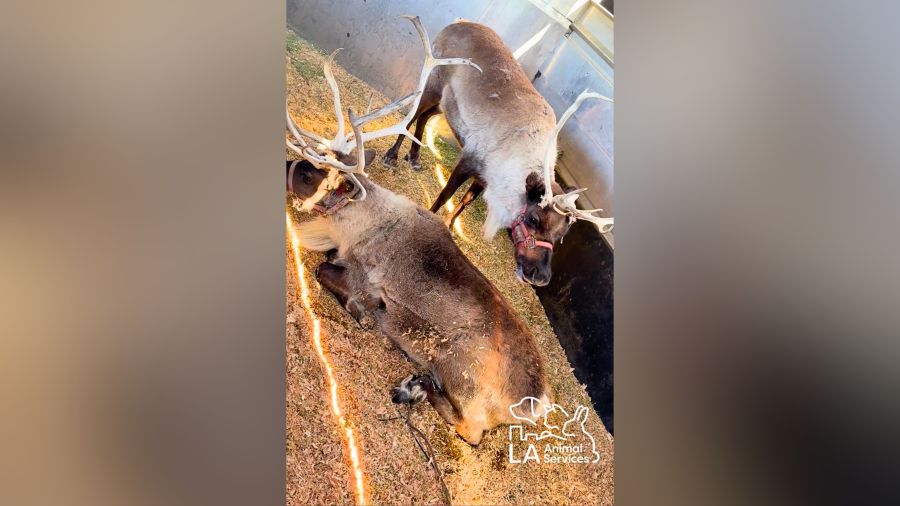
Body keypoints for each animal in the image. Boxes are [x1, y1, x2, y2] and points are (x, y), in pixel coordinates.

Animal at [286, 16, 551, 445]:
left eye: (314, 172)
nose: (284, 167)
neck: (362, 223)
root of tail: (536, 401)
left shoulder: (365, 278)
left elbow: (326, 270)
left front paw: (360, 312)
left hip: (462, 377)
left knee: (470, 431)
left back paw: (413, 387)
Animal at [382, 20, 614, 286]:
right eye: (533, 219)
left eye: (561, 235)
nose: (540, 276)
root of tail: (456, 24)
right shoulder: (469, 161)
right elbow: (444, 196)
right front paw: (430, 219)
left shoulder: (486, 178)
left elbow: (465, 201)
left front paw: (449, 226)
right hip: (433, 80)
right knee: (412, 115)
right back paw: (392, 156)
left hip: (446, 102)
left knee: (425, 117)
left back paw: (415, 157)